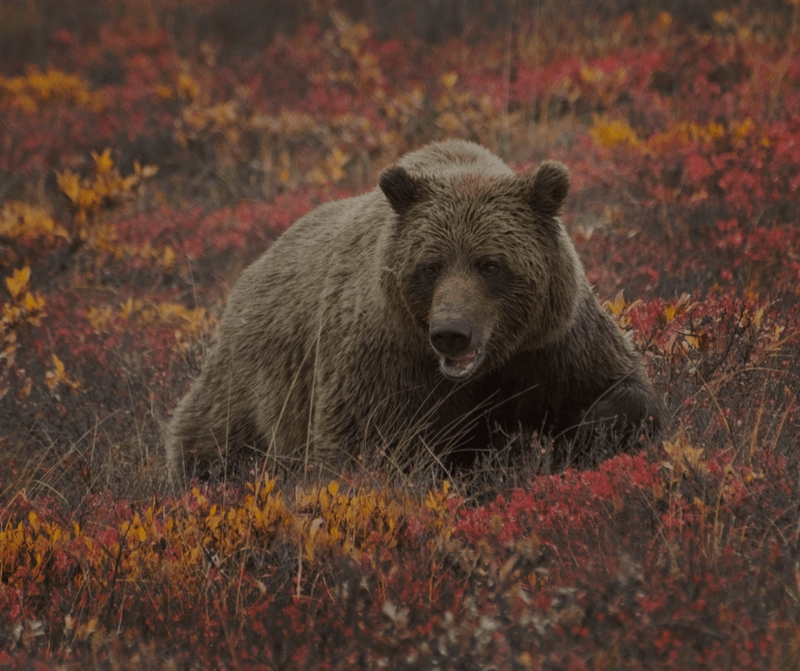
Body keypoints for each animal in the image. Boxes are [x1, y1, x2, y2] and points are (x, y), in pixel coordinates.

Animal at [166, 139, 661, 484]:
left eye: (490, 264)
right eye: (431, 265)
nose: (452, 332)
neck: (486, 367)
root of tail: (251, 270)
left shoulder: (553, 343)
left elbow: (621, 390)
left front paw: (590, 432)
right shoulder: (386, 359)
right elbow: (363, 448)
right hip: (251, 385)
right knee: (212, 442)